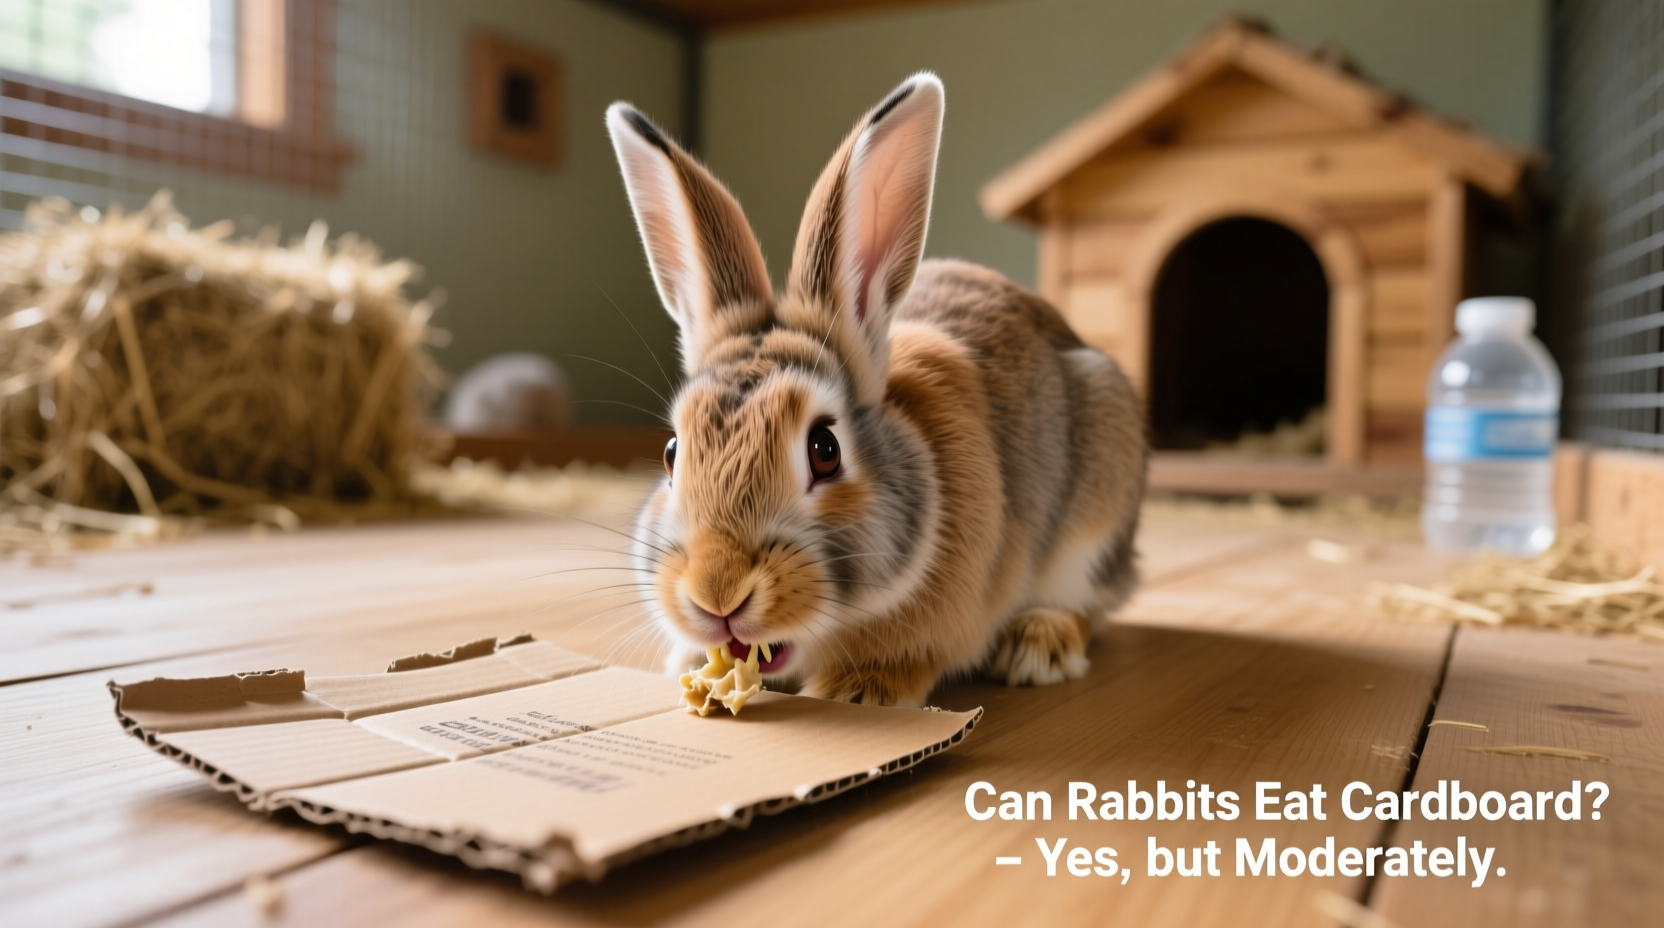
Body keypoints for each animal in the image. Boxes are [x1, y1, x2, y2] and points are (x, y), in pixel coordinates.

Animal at [607, 72, 1146, 707]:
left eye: (825, 449)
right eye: (672, 453)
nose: (718, 595)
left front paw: (854, 692)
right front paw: (696, 667)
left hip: (1095, 515)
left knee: (1092, 605)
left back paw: (1039, 646)